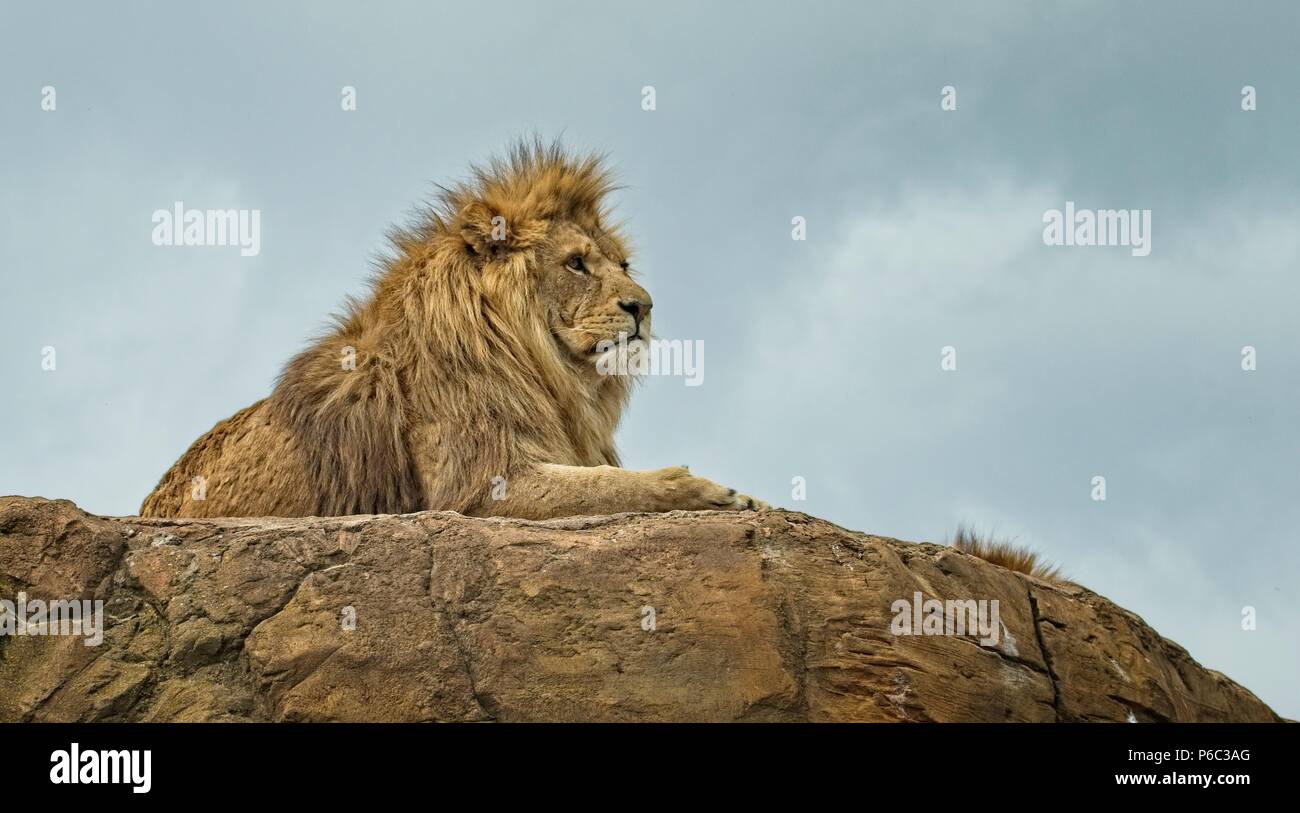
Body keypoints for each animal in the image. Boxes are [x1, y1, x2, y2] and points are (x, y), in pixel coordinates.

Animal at [140, 141, 764, 520]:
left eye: (624, 265)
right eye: (576, 264)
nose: (644, 307)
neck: (550, 370)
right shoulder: (481, 486)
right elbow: (616, 486)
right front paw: (712, 492)